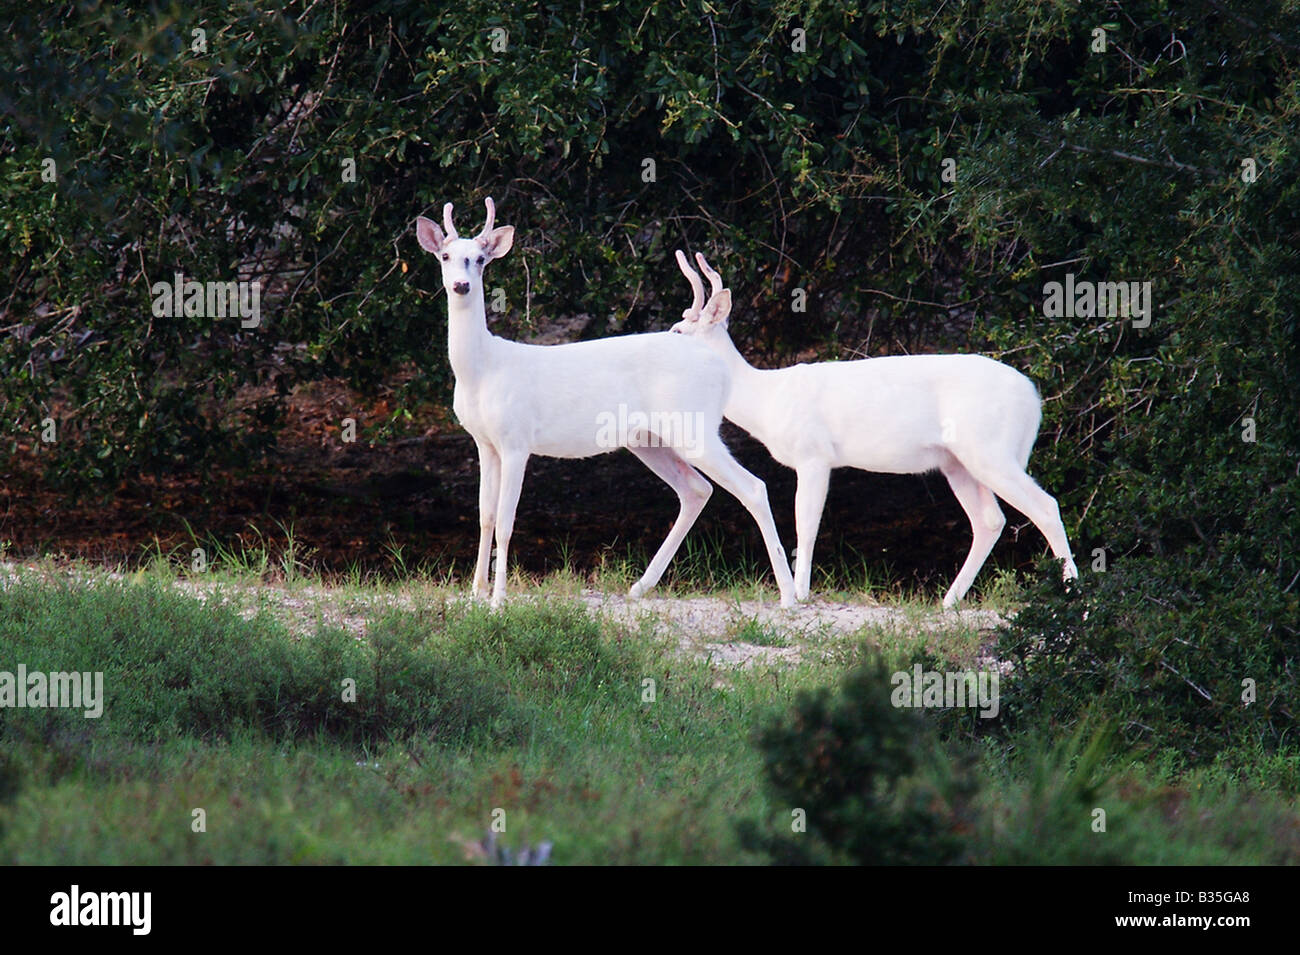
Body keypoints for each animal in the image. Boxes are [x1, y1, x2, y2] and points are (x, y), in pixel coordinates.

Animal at [414, 198, 797, 608]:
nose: (461, 285)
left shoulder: (517, 440)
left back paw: (789, 595)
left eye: (480, 259)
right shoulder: (484, 442)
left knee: (752, 487)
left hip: (693, 426)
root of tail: (720, 369)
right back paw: (641, 586)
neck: (482, 369)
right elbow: (485, 516)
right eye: (445, 256)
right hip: (649, 439)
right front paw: (476, 594)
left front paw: (499, 600)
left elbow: (505, 521)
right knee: (697, 489)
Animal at [669, 250, 1079, 607]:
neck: (766, 399)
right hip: (958, 462)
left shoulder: (814, 454)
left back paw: (1073, 597)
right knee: (990, 520)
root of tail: (1034, 399)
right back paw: (949, 601)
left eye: (677, 330)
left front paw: (800, 594)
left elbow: (806, 524)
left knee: (1046, 506)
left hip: (991, 450)